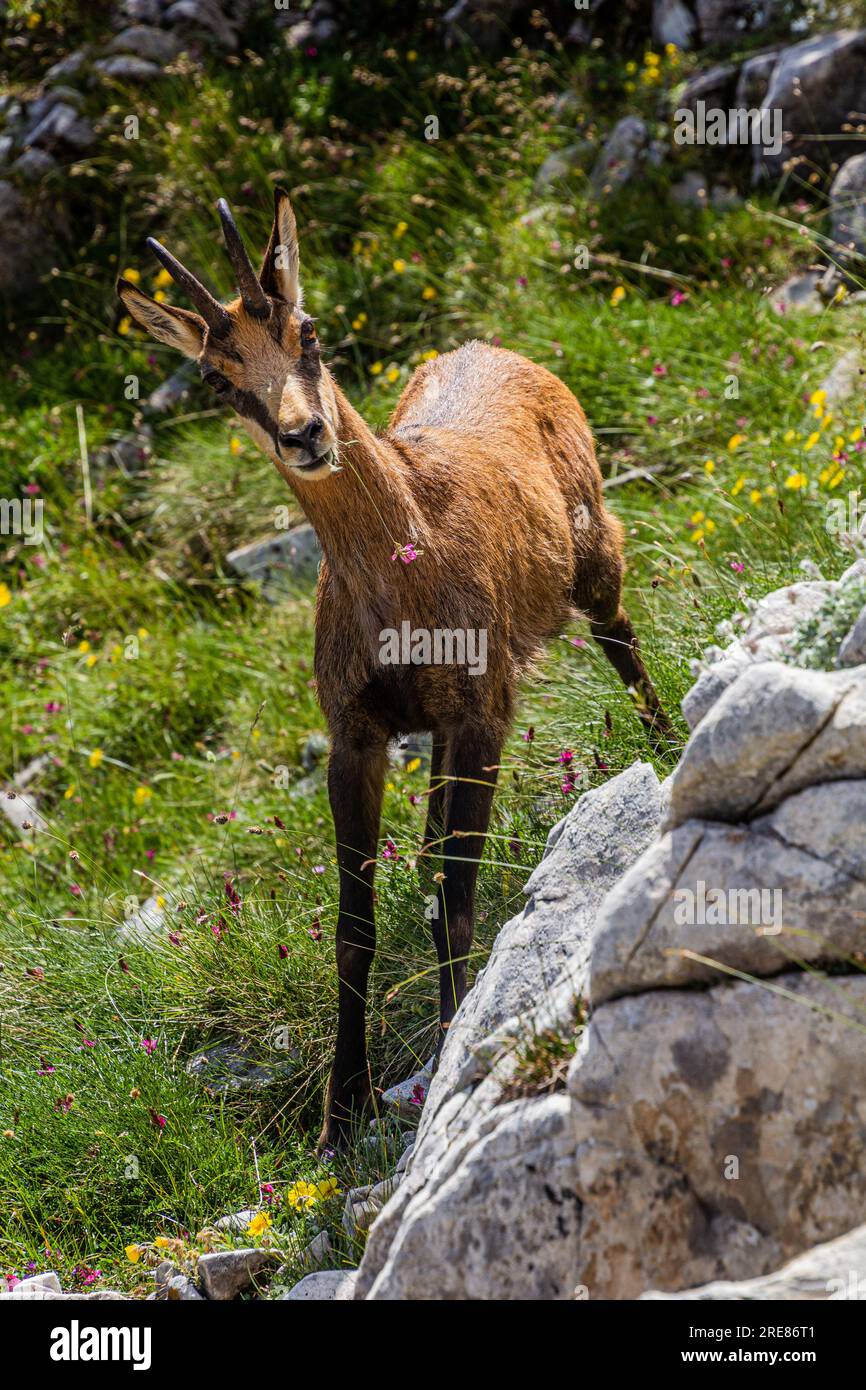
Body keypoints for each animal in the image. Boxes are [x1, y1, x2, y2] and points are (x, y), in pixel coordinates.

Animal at [118, 188, 675, 1148]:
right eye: (218, 380)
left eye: (306, 330)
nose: (304, 434)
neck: (402, 578)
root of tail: (492, 347)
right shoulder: (358, 734)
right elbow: (357, 925)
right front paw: (340, 1109)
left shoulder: (484, 709)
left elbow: (459, 896)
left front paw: (451, 1047)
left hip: (592, 550)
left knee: (623, 640)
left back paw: (670, 742)